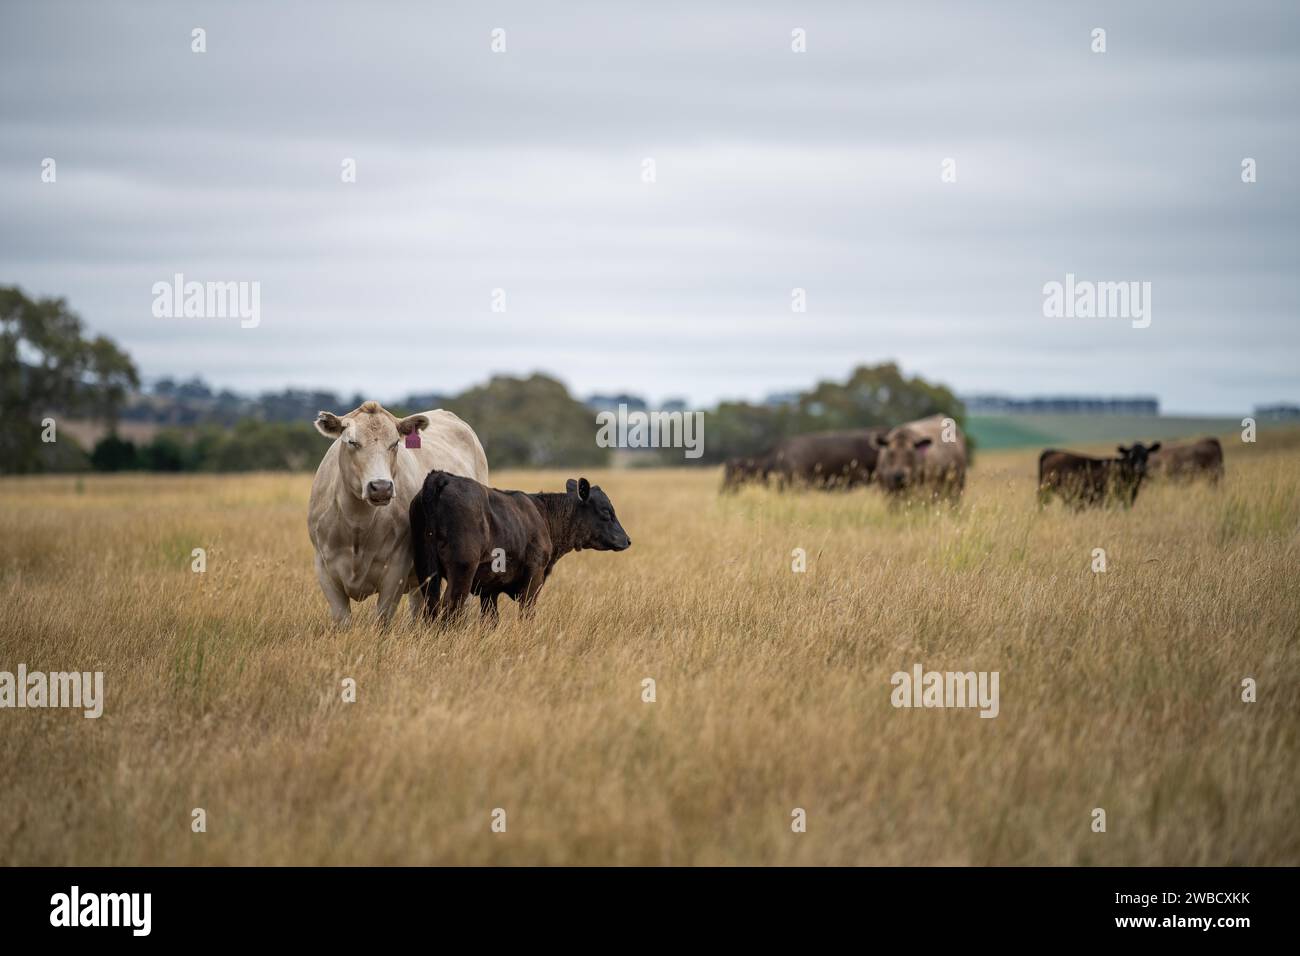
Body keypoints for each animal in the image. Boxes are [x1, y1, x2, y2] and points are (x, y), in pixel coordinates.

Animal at [307, 401, 489, 624]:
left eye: (394, 444)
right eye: (352, 442)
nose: (381, 487)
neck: (357, 525)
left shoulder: (395, 572)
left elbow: (383, 619)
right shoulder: (325, 571)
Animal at [410, 472, 630, 624]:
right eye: (606, 511)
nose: (627, 540)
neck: (543, 515)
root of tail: (442, 477)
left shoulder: (489, 588)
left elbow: (491, 620)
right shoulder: (534, 577)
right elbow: (527, 613)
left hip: (426, 568)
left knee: (431, 607)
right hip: (462, 569)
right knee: (449, 608)